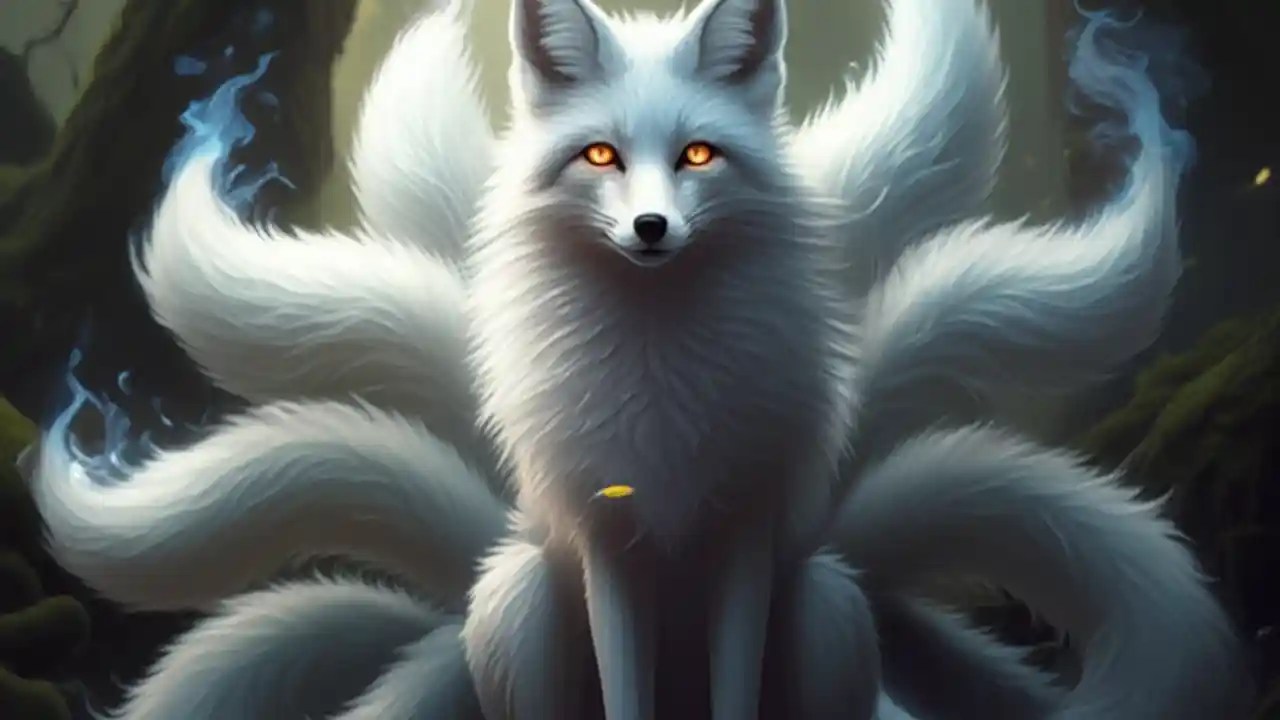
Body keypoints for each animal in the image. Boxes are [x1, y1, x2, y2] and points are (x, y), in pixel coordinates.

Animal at [23, 0, 1251, 718]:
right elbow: (622, 692)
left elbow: (733, 690)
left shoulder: (747, 543)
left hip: (827, 599)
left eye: (699, 155)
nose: (652, 228)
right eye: (601, 157)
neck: (662, 388)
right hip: (519, 597)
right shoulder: (603, 552)